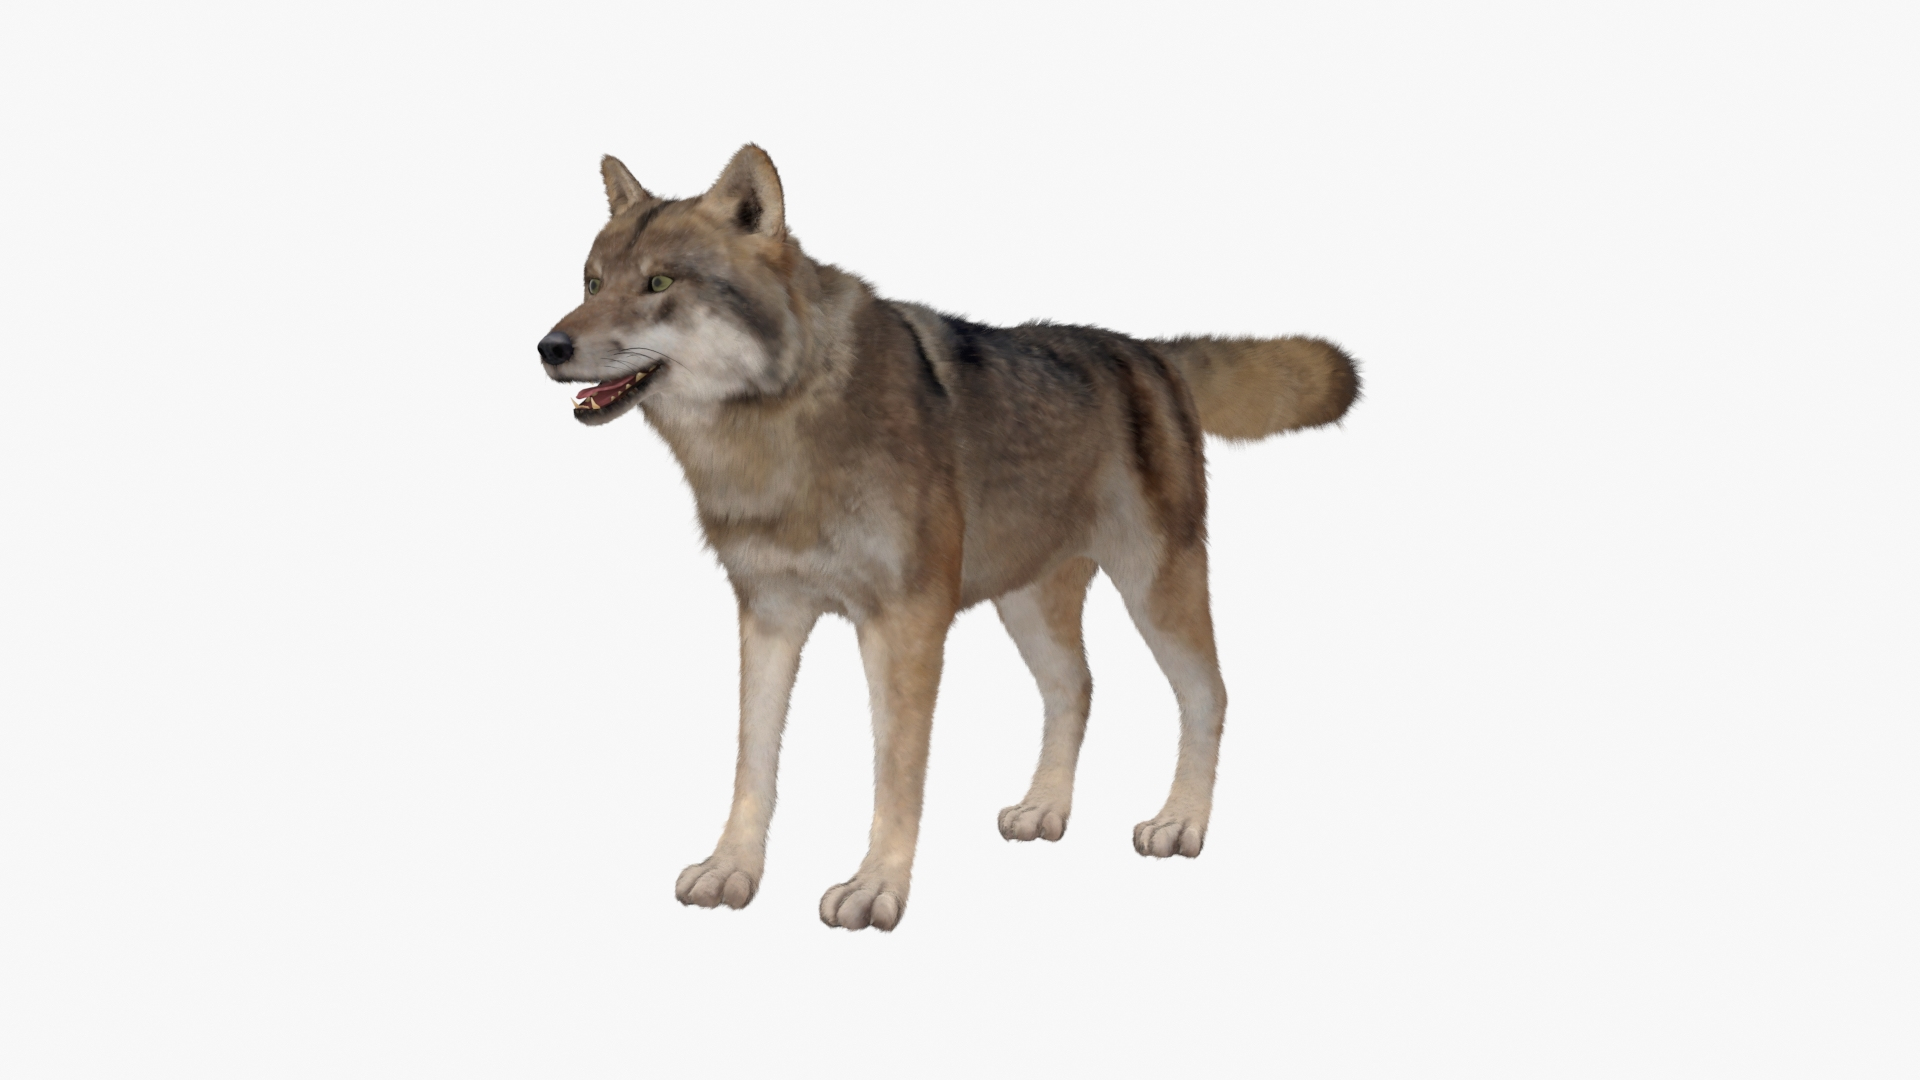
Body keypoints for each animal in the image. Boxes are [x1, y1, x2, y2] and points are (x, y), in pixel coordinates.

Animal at [536, 145, 1359, 931]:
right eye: (591, 283)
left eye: (658, 283)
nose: (549, 346)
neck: (777, 433)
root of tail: (1151, 351)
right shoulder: (768, 616)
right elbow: (753, 762)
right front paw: (731, 871)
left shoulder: (904, 624)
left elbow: (896, 773)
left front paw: (875, 889)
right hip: (1026, 606)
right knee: (1077, 687)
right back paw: (1046, 808)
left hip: (1156, 591)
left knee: (1208, 694)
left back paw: (1181, 823)